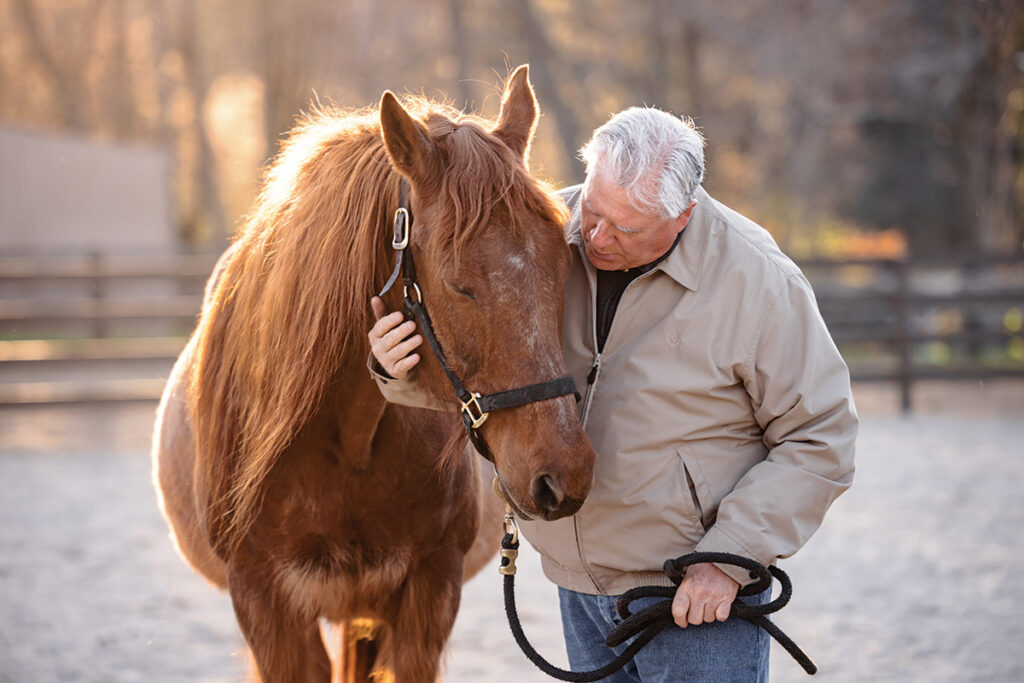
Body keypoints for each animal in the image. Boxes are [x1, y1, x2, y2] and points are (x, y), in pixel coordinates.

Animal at [151, 65, 597, 682]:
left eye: (563, 264)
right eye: (459, 284)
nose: (563, 474)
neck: (346, 440)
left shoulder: (428, 597)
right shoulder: (267, 607)